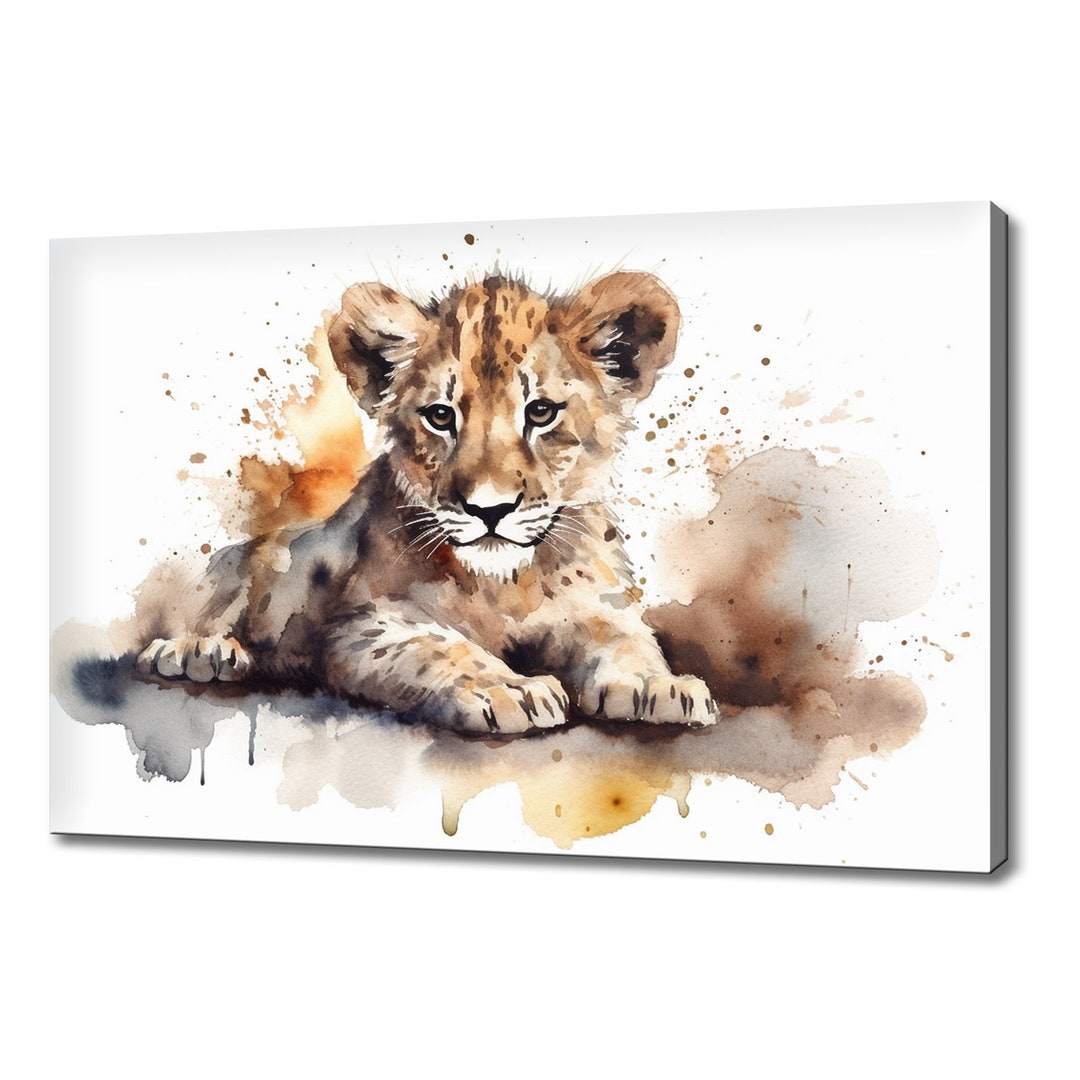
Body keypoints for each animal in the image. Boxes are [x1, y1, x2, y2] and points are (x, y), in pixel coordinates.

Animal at [135, 271, 717, 735]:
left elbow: (627, 640)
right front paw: (510, 689)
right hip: (251, 568)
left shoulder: (599, 606)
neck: (508, 586)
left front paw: (658, 686)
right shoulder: (361, 623)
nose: (489, 510)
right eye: (440, 416)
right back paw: (200, 650)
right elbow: (440, 645)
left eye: (541, 412)